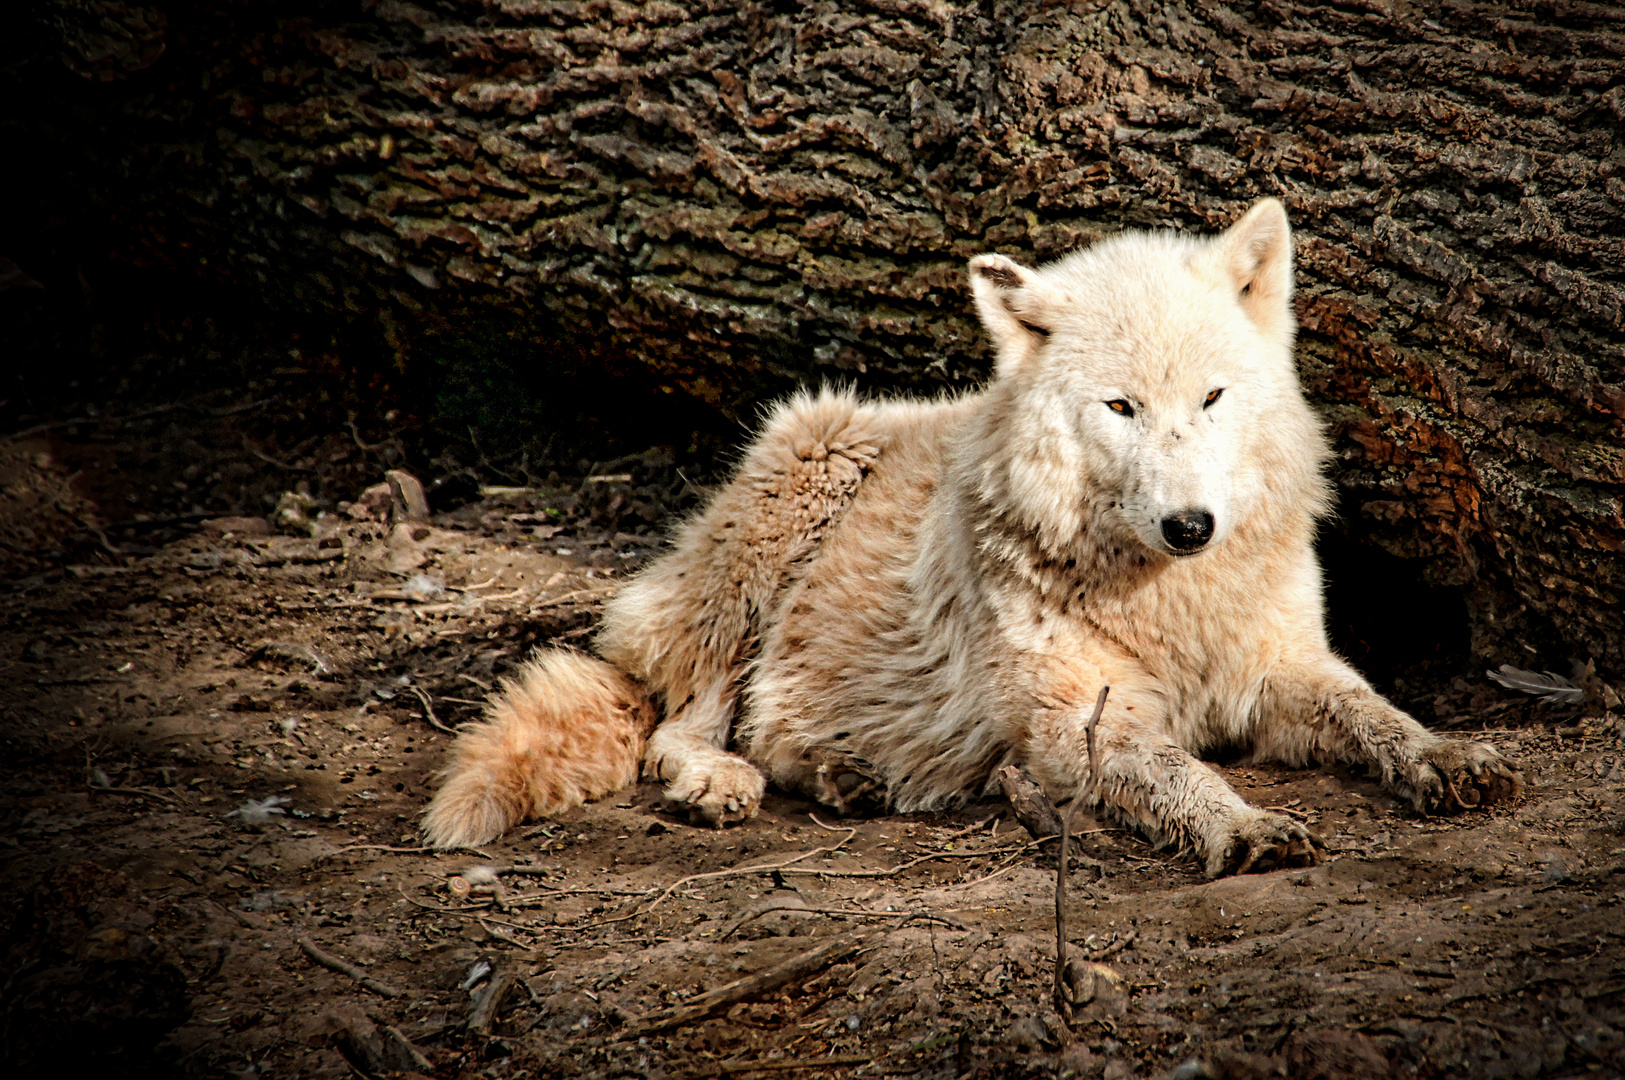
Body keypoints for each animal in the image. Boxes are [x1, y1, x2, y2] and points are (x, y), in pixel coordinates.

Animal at [422, 199, 1521, 877]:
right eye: (1120, 407)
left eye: (1210, 398)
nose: (1190, 524)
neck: (1164, 597)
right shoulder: (1086, 725)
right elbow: (1180, 773)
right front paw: (1244, 828)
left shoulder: (1276, 672)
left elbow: (1373, 712)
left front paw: (1449, 759)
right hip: (797, 493)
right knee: (679, 722)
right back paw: (722, 781)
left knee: (759, 723)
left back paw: (848, 776)